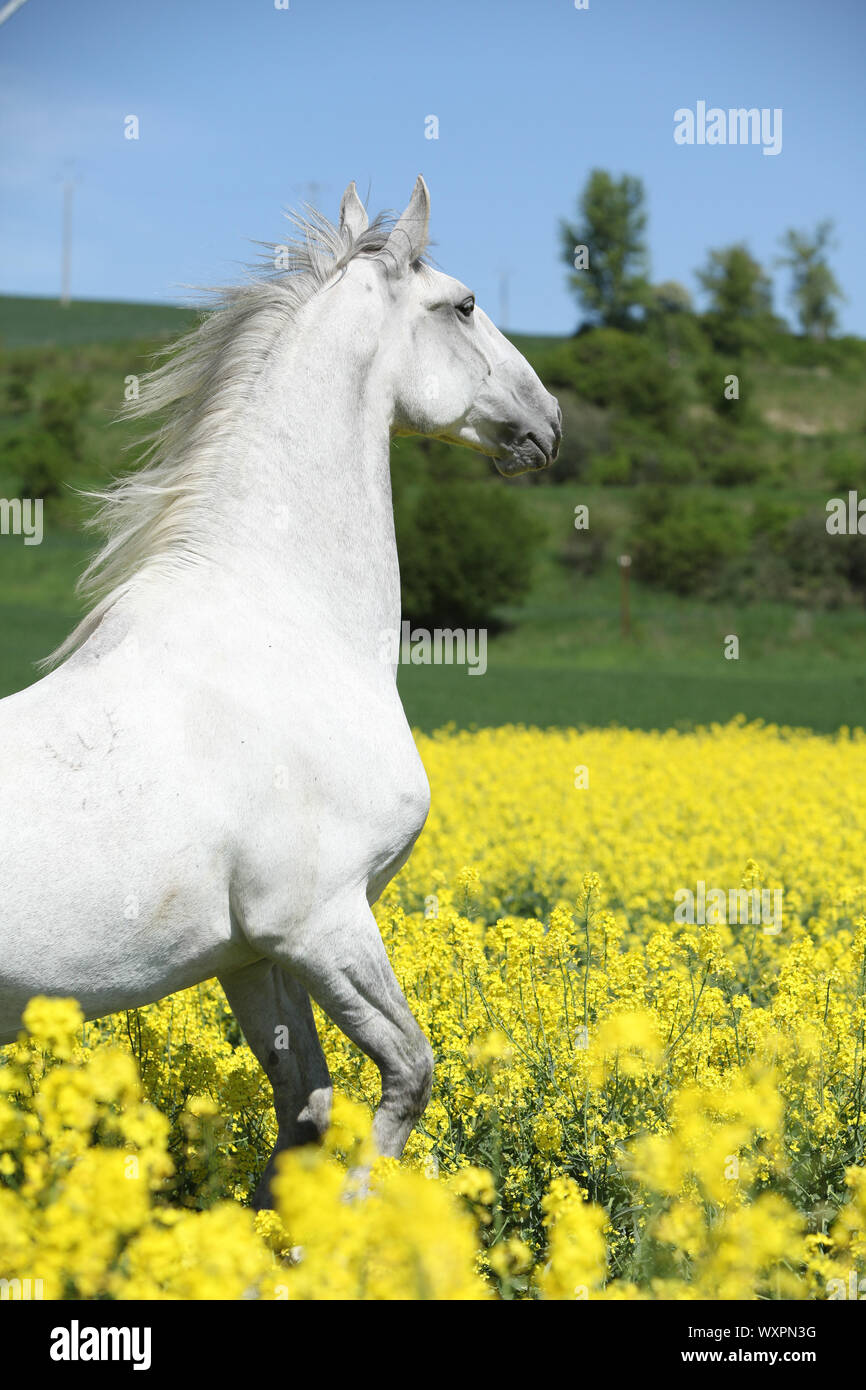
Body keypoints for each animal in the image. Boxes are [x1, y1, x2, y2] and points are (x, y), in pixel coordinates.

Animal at [0, 177, 560, 1205]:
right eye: (464, 303)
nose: (547, 424)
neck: (289, 622)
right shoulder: (322, 919)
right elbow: (408, 1074)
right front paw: (355, 1215)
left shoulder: (253, 953)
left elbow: (304, 1104)